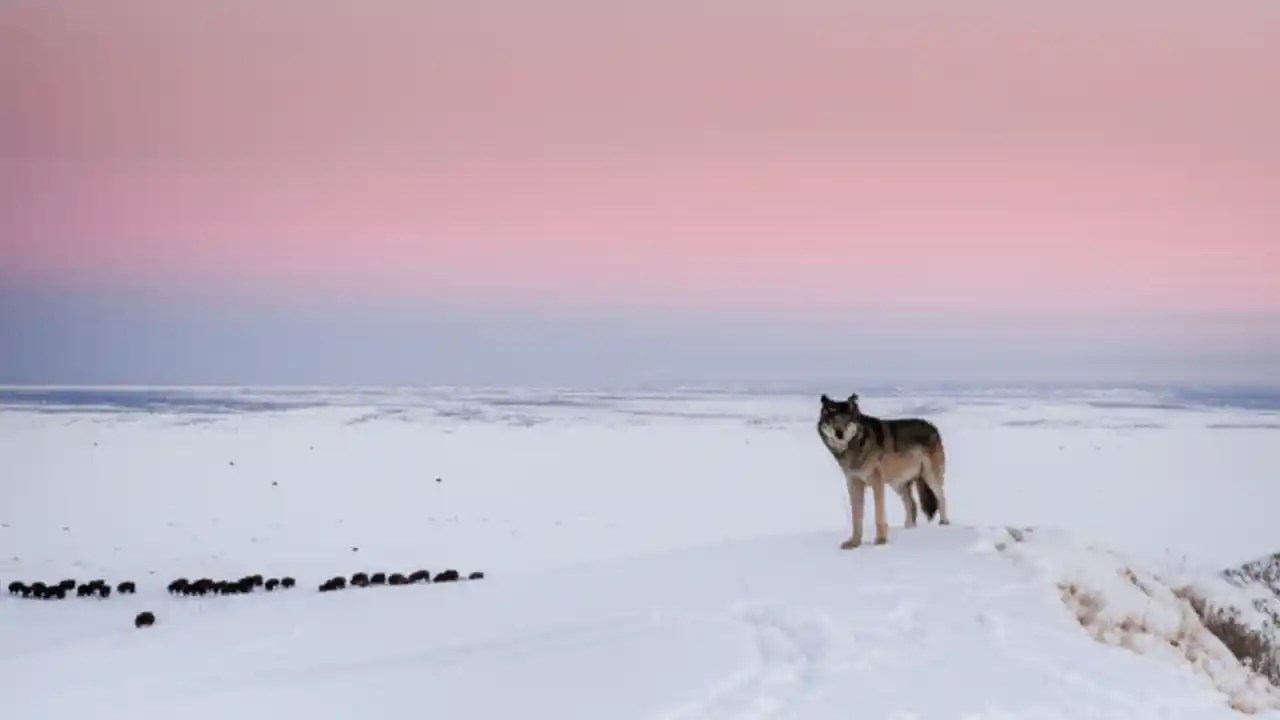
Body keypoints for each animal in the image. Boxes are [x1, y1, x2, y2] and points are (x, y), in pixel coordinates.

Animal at [817, 393, 949, 548]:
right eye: (832, 420)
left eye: (846, 421)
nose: (839, 434)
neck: (857, 445)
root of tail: (933, 427)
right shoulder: (853, 484)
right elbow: (856, 517)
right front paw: (854, 543)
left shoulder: (877, 483)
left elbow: (878, 515)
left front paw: (881, 541)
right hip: (898, 484)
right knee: (912, 504)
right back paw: (909, 530)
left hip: (930, 477)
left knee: (941, 498)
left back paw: (944, 524)